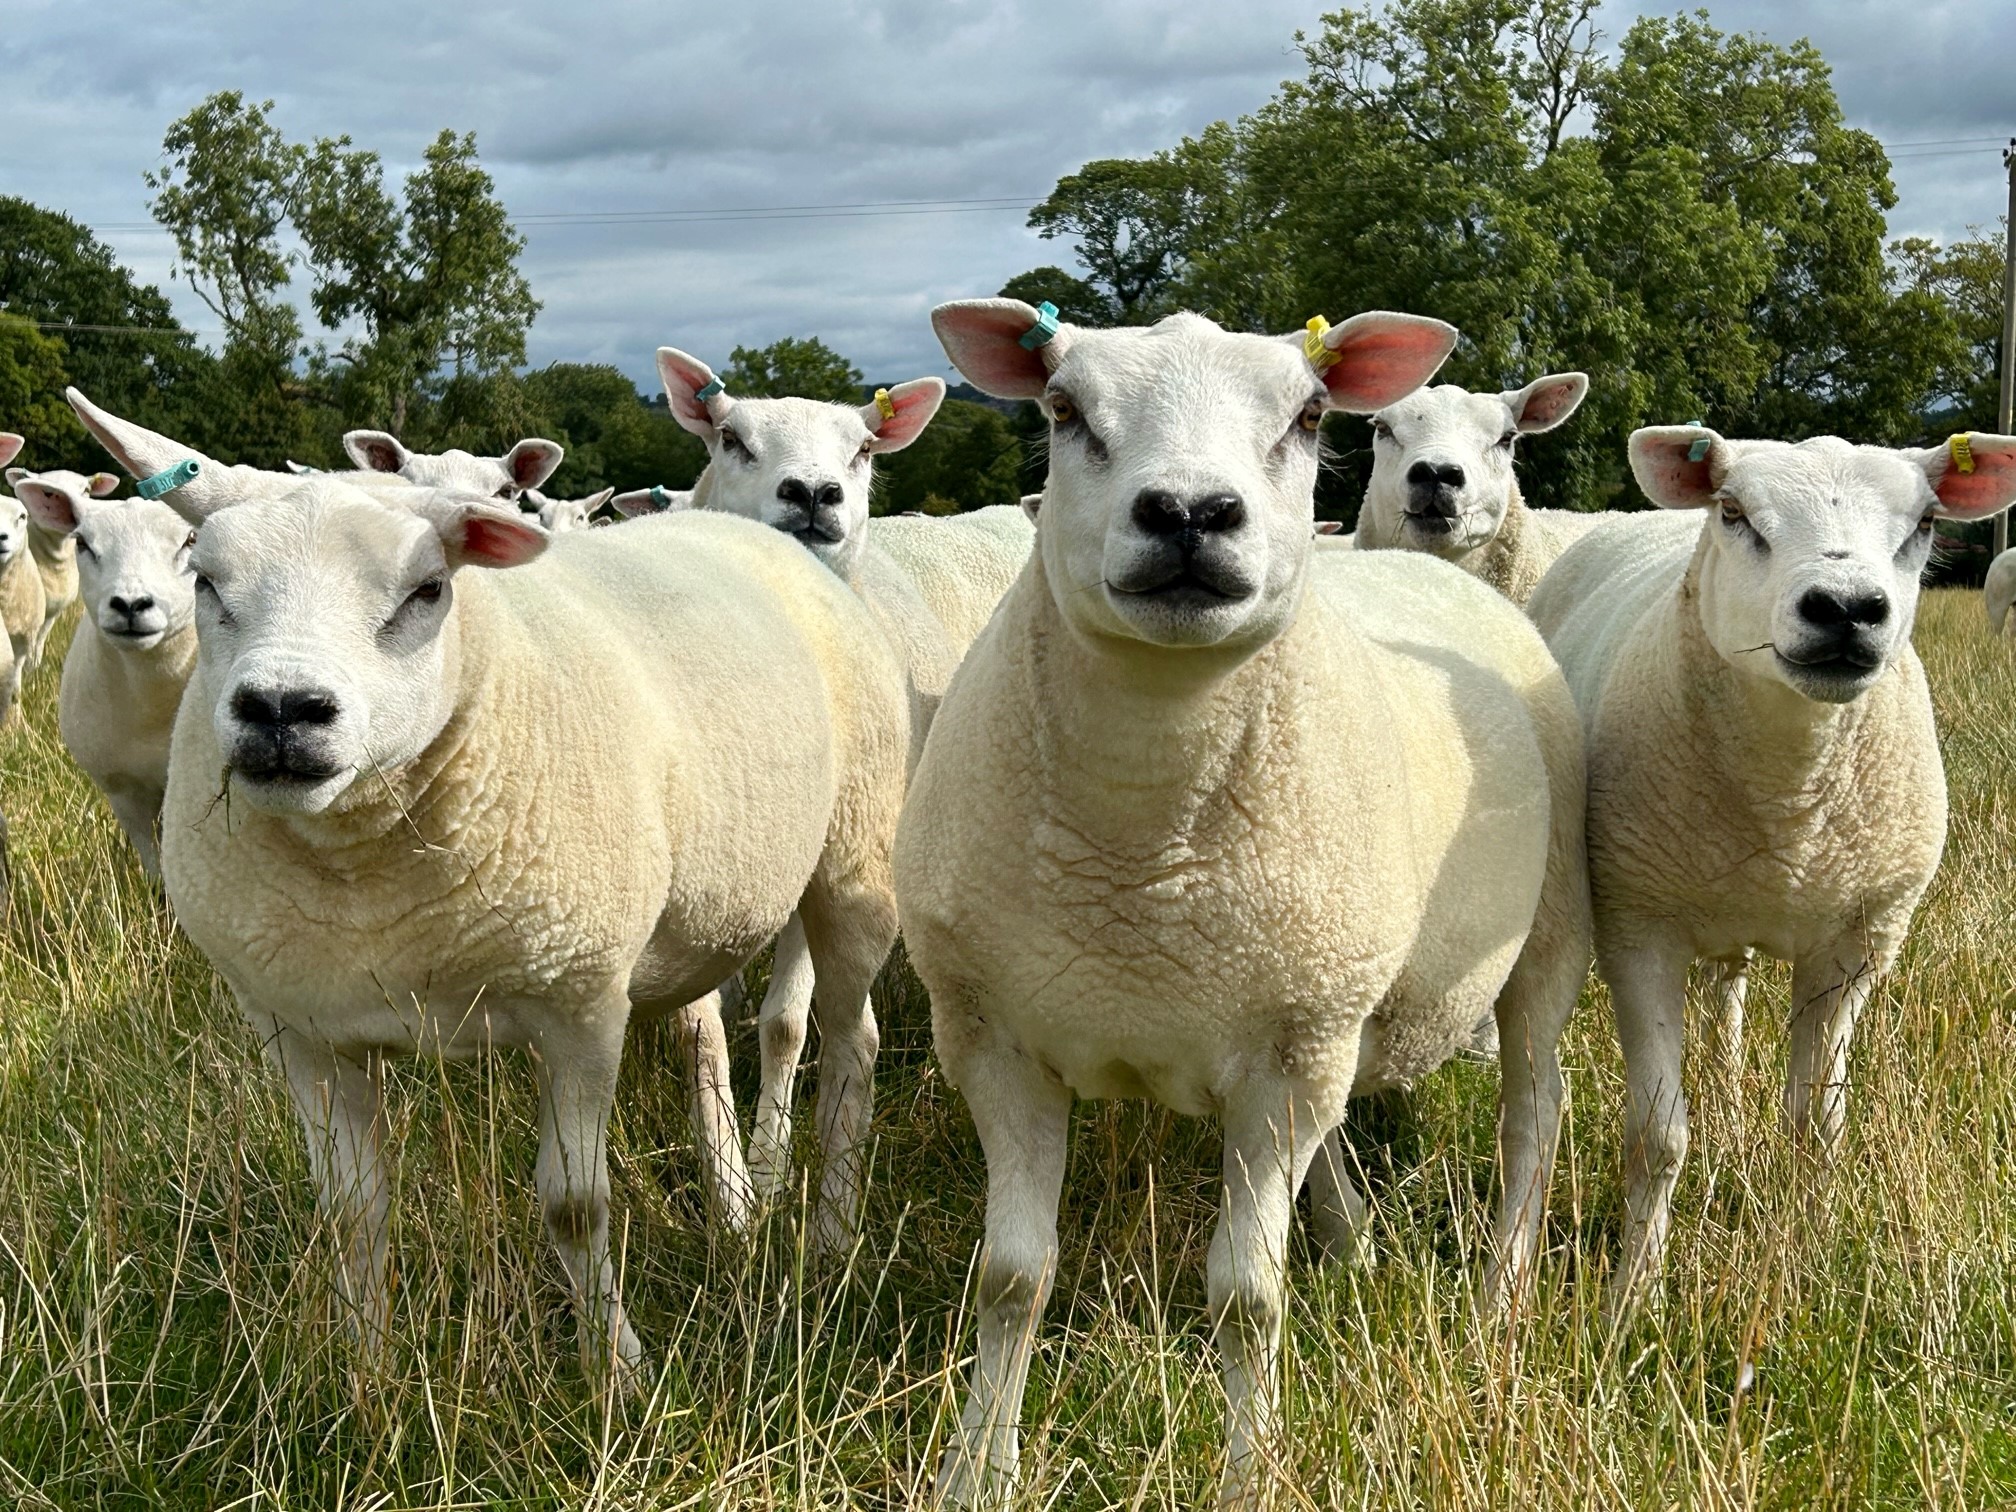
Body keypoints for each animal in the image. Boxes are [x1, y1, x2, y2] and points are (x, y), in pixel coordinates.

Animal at [67, 393, 912, 1377]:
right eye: (205, 581)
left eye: (429, 591)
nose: (281, 710)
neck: (366, 879)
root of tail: (734, 526)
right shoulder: (298, 1025)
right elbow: (352, 1209)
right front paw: (366, 1374)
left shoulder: (579, 1002)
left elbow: (574, 1206)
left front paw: (617, 1375)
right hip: (688, 906)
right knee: (704, 1039)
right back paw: (736, 1203)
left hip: (852, 856)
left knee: (851, 1043)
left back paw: (832, 1236)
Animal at [1525, 425, 2016, 1306]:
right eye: (1733, 511)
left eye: (1926, 522)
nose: (1846, 608)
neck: (1791, 796)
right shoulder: (1638, 931)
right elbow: (1657, 1137)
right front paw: (1634, 1295)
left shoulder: (1856, 947)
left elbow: (1816, 1124)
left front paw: (1811, 1253)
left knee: (1731, 991)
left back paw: (1725, 1084)